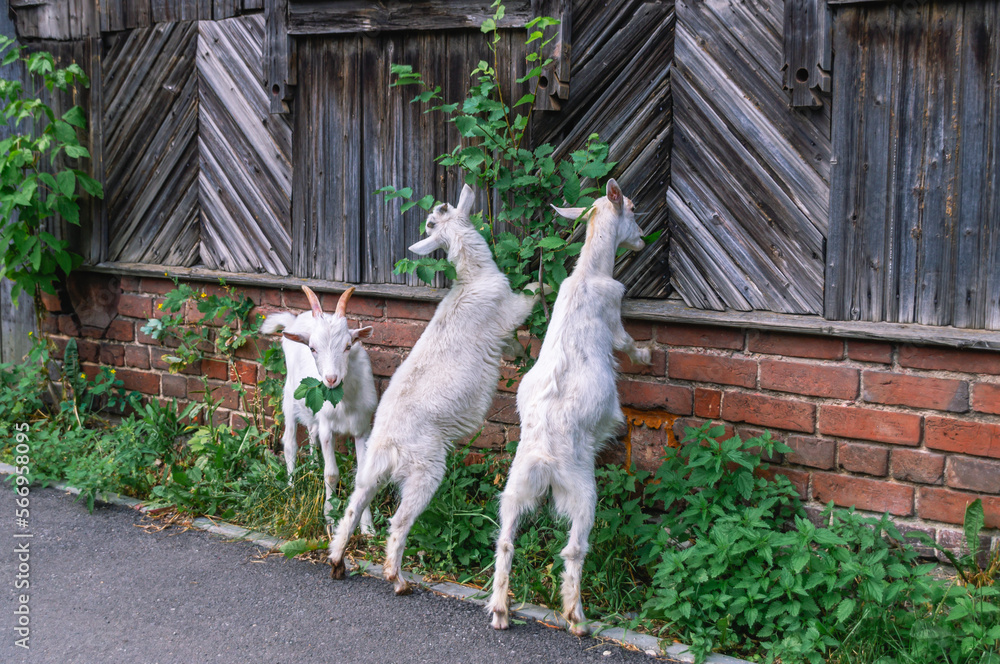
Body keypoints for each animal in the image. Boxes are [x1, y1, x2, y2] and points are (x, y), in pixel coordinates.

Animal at [261, 286, 378, 535]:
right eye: (313, 348)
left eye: (348, 346)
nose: (331, 379)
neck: (344, 403)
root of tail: (295, 321)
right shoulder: (327, 428)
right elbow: (331, 474)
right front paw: (330, 519)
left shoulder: (362, 428)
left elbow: (362, 477)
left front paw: (367, 527)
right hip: (289, 395)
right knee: (290, 442)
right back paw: (292, 489)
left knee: (311, 433)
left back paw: (314, 466)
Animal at [327, 183, 539, 594]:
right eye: (438, 215)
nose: (445, 198)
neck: (473, 277)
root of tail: (388, 443)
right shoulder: (508, 310)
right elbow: (531, 297)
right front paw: (545, 283)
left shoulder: (503, 333)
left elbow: (513, 347)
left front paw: (523, 355)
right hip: (426, 468)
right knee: (398, 522)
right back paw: (397, 579)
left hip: (369, 469)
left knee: (353, 507)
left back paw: (337, 562)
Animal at [486, 179, 651, 635]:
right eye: (633, 207)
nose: (643, 239)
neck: (588, 274)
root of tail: (545, 457)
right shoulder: (613, 318)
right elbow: (626, 342)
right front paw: (647, 354)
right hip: (582, 490)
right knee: (574, 549)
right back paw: (576, 617)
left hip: (515, 485)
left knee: (505, 539)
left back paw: (501, 611)